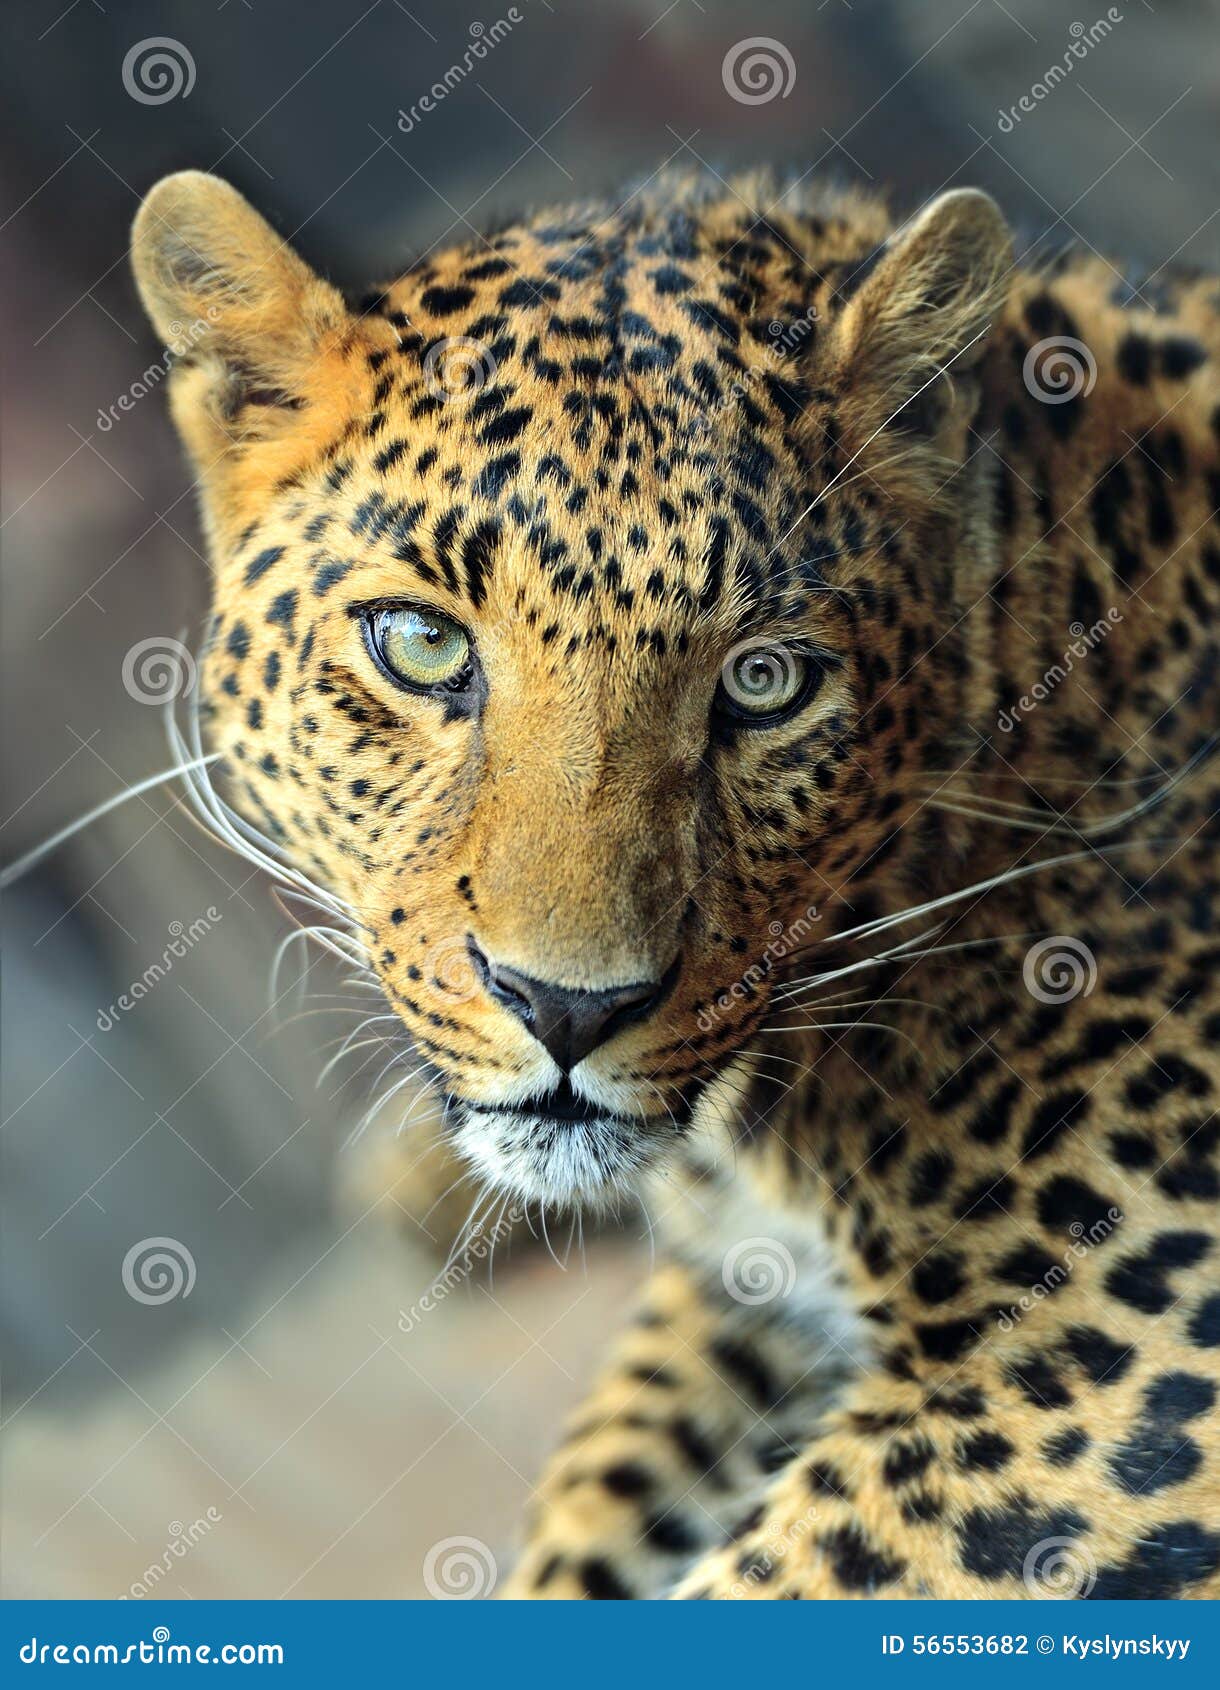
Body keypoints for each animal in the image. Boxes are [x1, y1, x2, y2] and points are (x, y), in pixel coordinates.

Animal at [130, 165, 1220, 1600]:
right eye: (419, 645)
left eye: (764, 680)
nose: (567, 1009)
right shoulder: (742, 1291)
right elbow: (595, 1493)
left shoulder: (1126, 1315)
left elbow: (779, 1574)